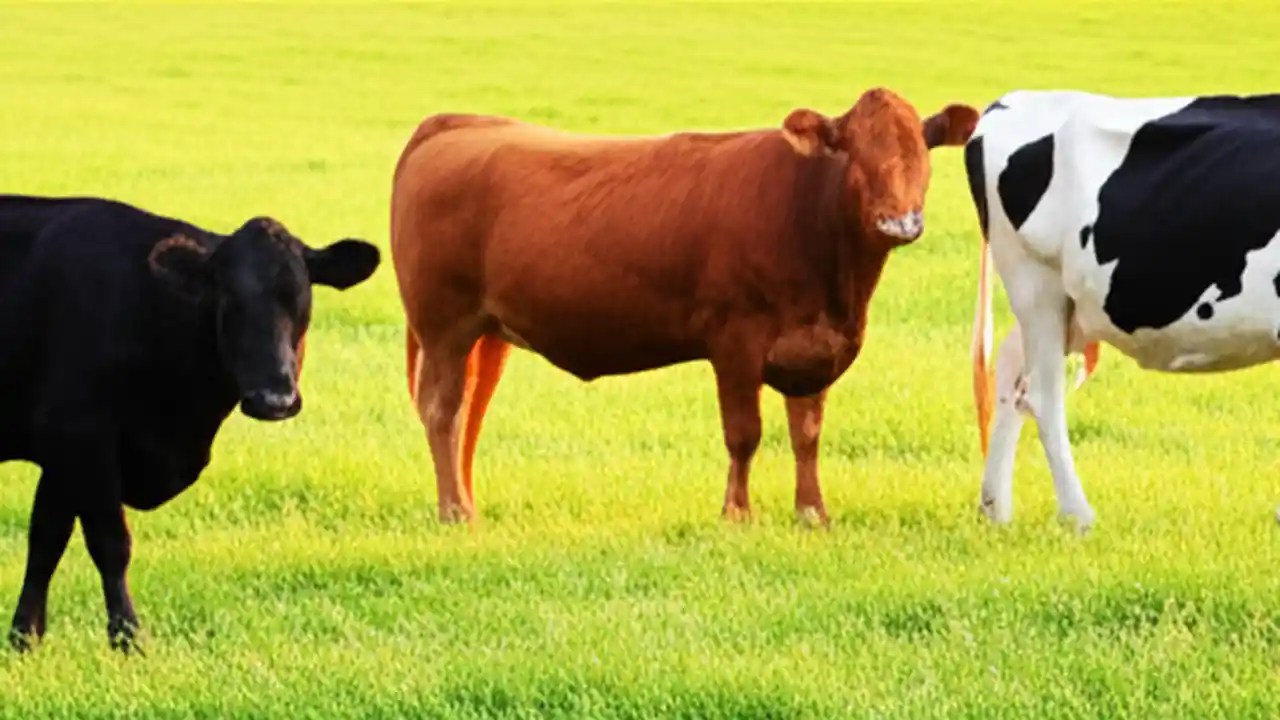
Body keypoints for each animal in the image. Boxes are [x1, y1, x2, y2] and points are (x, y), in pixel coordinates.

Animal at [0, 195, 380, 653]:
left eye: (301, 298)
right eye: (229, 299)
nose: (274, 399)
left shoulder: (63, 456)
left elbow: (46, 539)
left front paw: (25, 637)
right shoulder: (79, 435)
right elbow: (109, 543)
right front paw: (128, 638)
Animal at [390, 89, 979, 525]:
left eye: (921, 155)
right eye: (855, 155)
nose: (899, 222)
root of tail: (456, 124)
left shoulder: (815, 349)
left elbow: (807, 434)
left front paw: (813, 513)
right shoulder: (736, 341)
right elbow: (744, 434)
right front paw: (736, 514)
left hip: (486, 333)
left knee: (469, 410)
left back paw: (466, 503)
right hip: (444, 327)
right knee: (442, 411)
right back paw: (453, 511)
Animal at [966, 90, 1280, 530]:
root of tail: (1010, 101)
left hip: (1068, 307)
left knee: (1011, 366)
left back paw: (996, 508)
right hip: (1034, 281)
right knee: (1042, 394)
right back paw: (1077, 515)